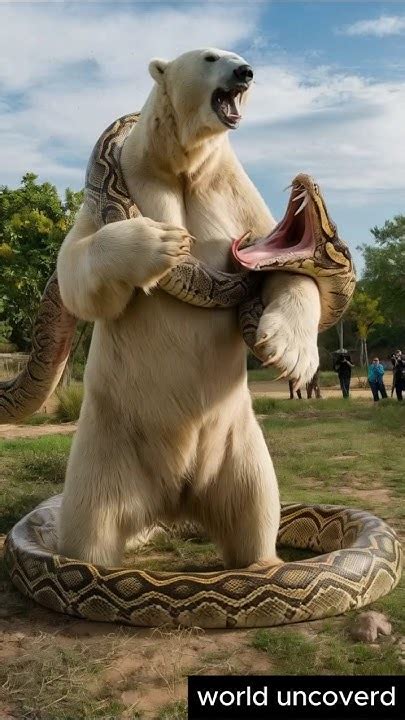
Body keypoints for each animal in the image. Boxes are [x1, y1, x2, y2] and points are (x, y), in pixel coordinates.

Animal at [56, 48, 320, 568]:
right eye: (210, 56)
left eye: (240, 55)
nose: (246, 72)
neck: (182, 166)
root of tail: (174, 500)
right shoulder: (116, 184)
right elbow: (74, 269)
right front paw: (160, 241)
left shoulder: (233, 192)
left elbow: (287, 267)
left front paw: (289, 353)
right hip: (106, 449)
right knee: (90, 526)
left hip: (239, 449)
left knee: (255, 508)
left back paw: (264, 564)